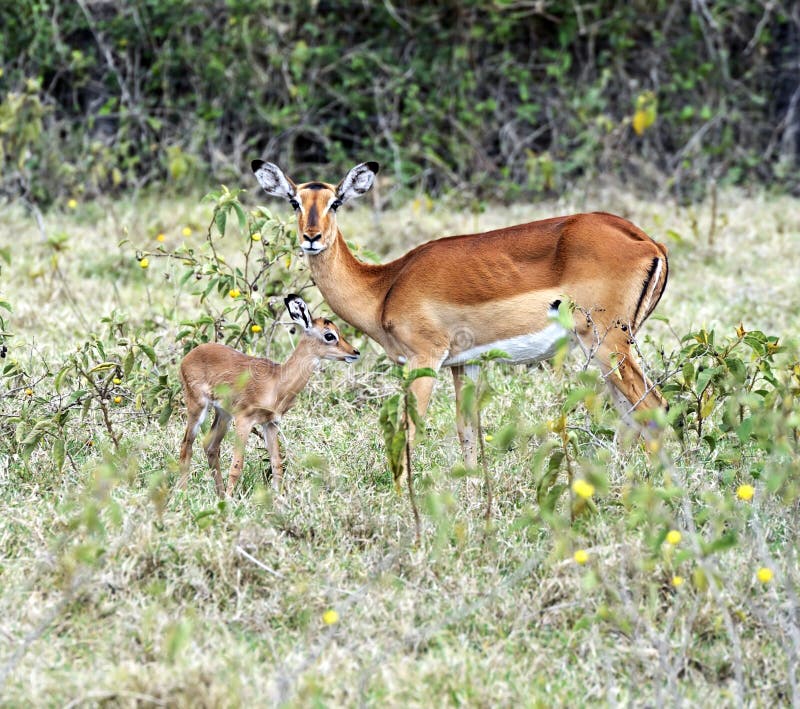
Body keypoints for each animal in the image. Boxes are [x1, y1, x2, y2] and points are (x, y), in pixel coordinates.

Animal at [178, 295, 360, 497]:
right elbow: (236, 466)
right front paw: (231, 500)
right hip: (198, 407)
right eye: (329, 335)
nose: (355, 352)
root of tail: (189, 356)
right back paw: (183, 494)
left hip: (223, 414)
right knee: (186, 446)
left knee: (210, 447)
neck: (277, 382)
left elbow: (277, 465)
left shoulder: (270, 423)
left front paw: (278, 499)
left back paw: (219, 494)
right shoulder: (244, 420)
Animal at [251, 160, 668, 470]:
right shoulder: (463, 364)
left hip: (608, 345)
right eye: (294, 201)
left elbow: (409, 430)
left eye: (335, 202)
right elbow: (466, 430)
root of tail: (647, 242)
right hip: (604, 352)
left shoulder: (424, 359)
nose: (312, 238)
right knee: (633, 417)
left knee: (655, 409)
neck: (385, 286)